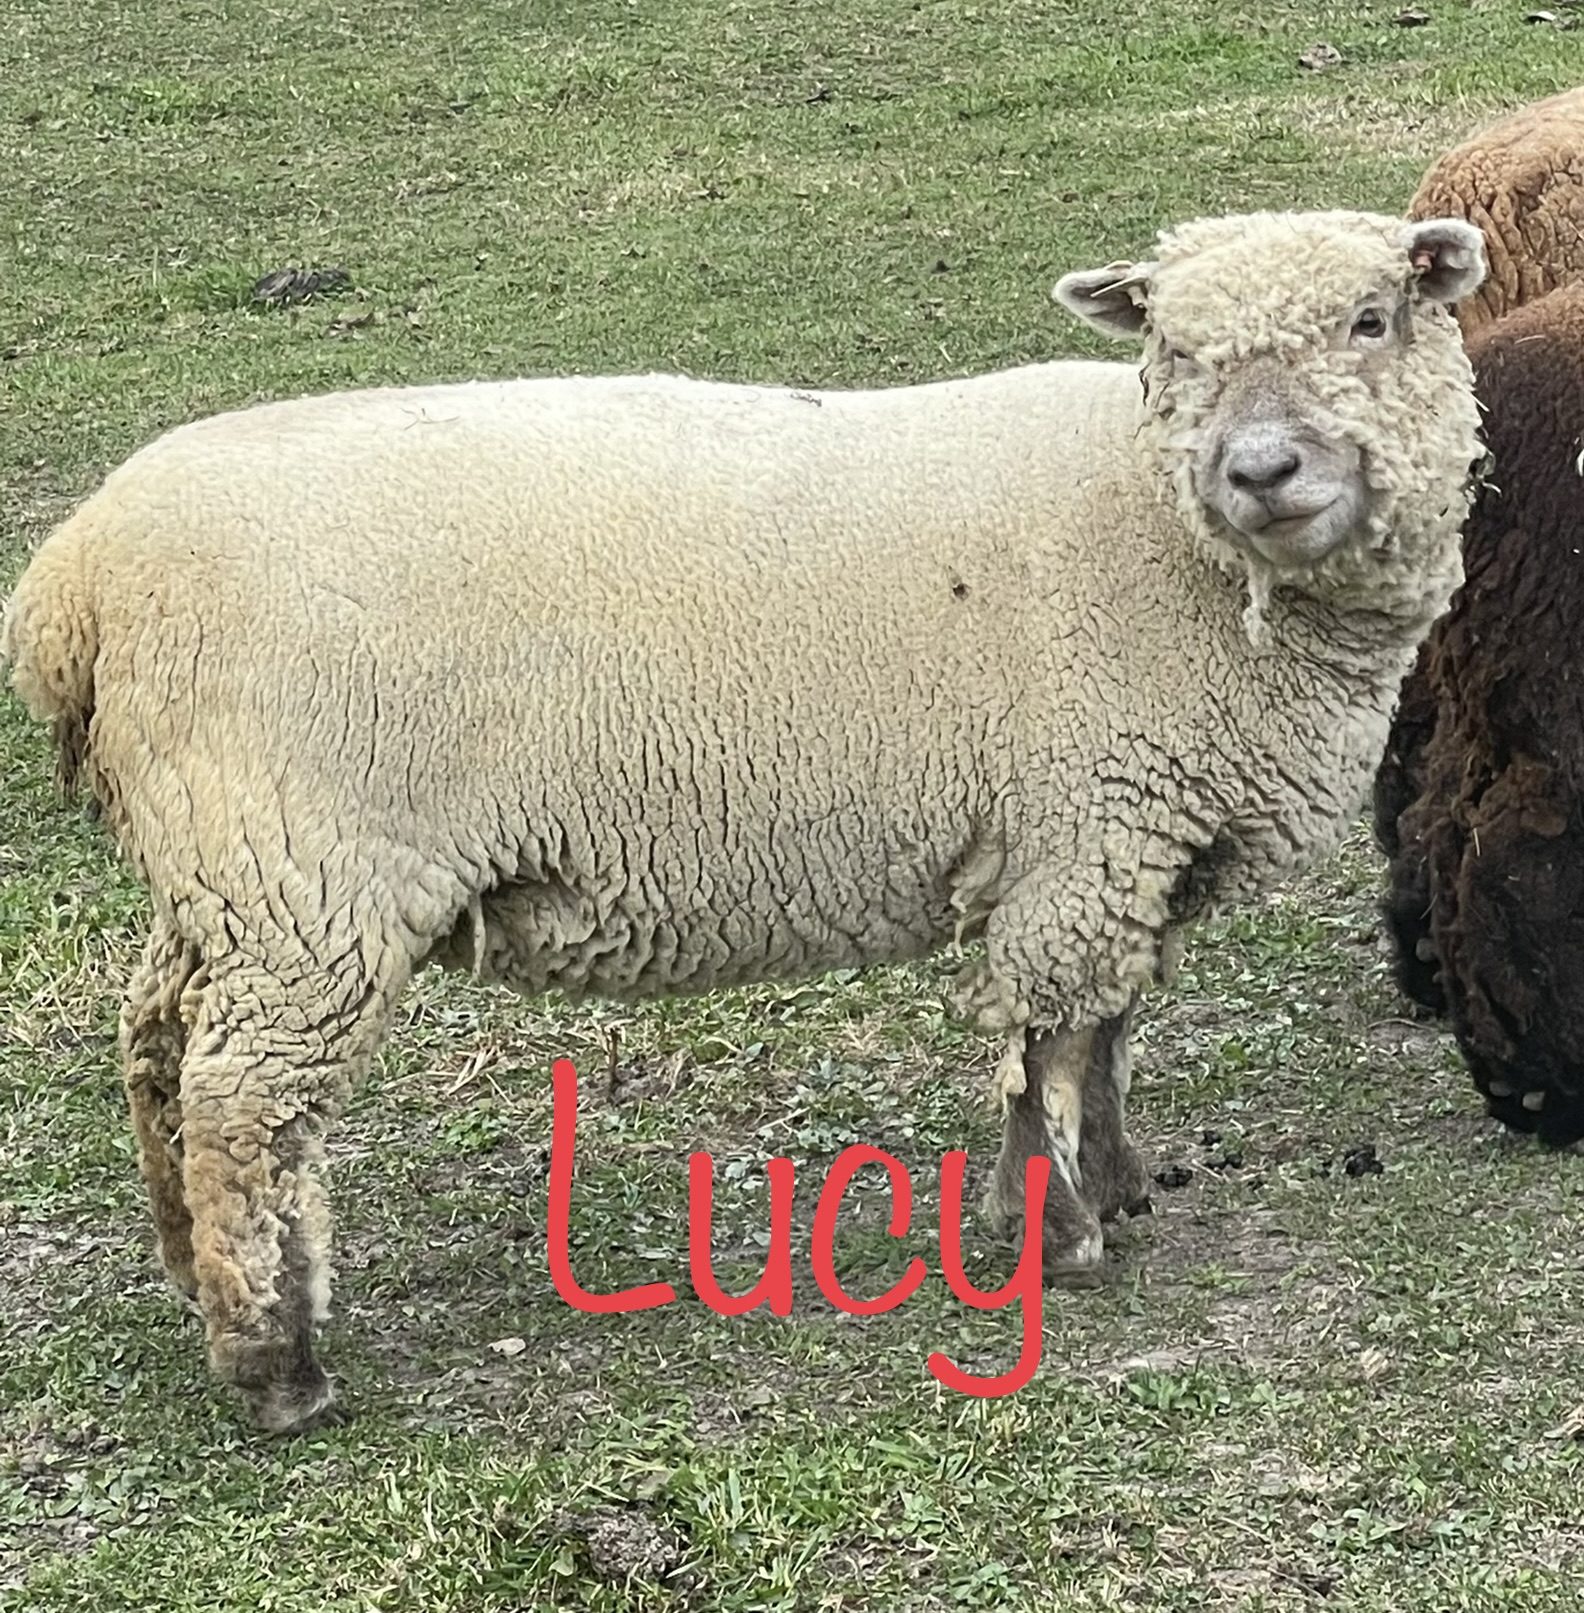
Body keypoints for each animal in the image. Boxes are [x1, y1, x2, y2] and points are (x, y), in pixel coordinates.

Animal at [2, 206, 1488, 1435]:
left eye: (1374, 316)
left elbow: (1108, 1031)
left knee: (156, 1047)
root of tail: (74, 583)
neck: (1173, 537)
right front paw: (1053, 1233)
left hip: (225, 872)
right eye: (1174, 346)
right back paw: (277, 1366)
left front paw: (1114, 1184)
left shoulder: (1134, 842)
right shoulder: (1082, 832)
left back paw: (188, 1271)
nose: (1261, 470)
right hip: (306, 873)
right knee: (244, 1102)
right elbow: (1050, 1049)